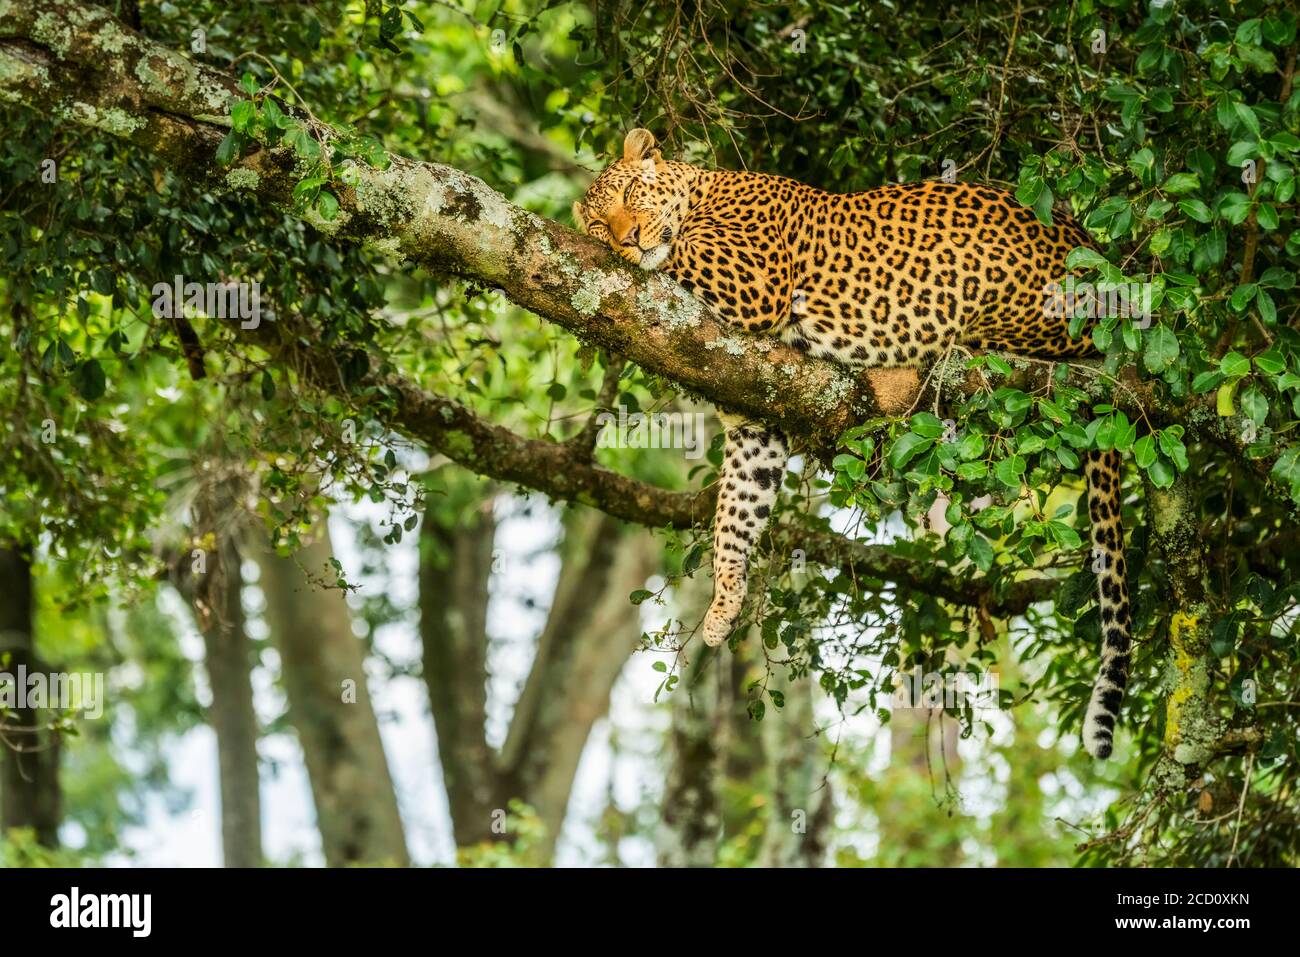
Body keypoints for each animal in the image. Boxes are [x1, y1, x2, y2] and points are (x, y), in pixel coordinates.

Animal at [574, 129, 1131, 760]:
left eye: (628, 194)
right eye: (599, 224)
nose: (623, 239)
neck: (705, 189)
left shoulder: (754, 275)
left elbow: (678, 254)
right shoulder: (754, 420)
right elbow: (738, 512)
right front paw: (724, 601)